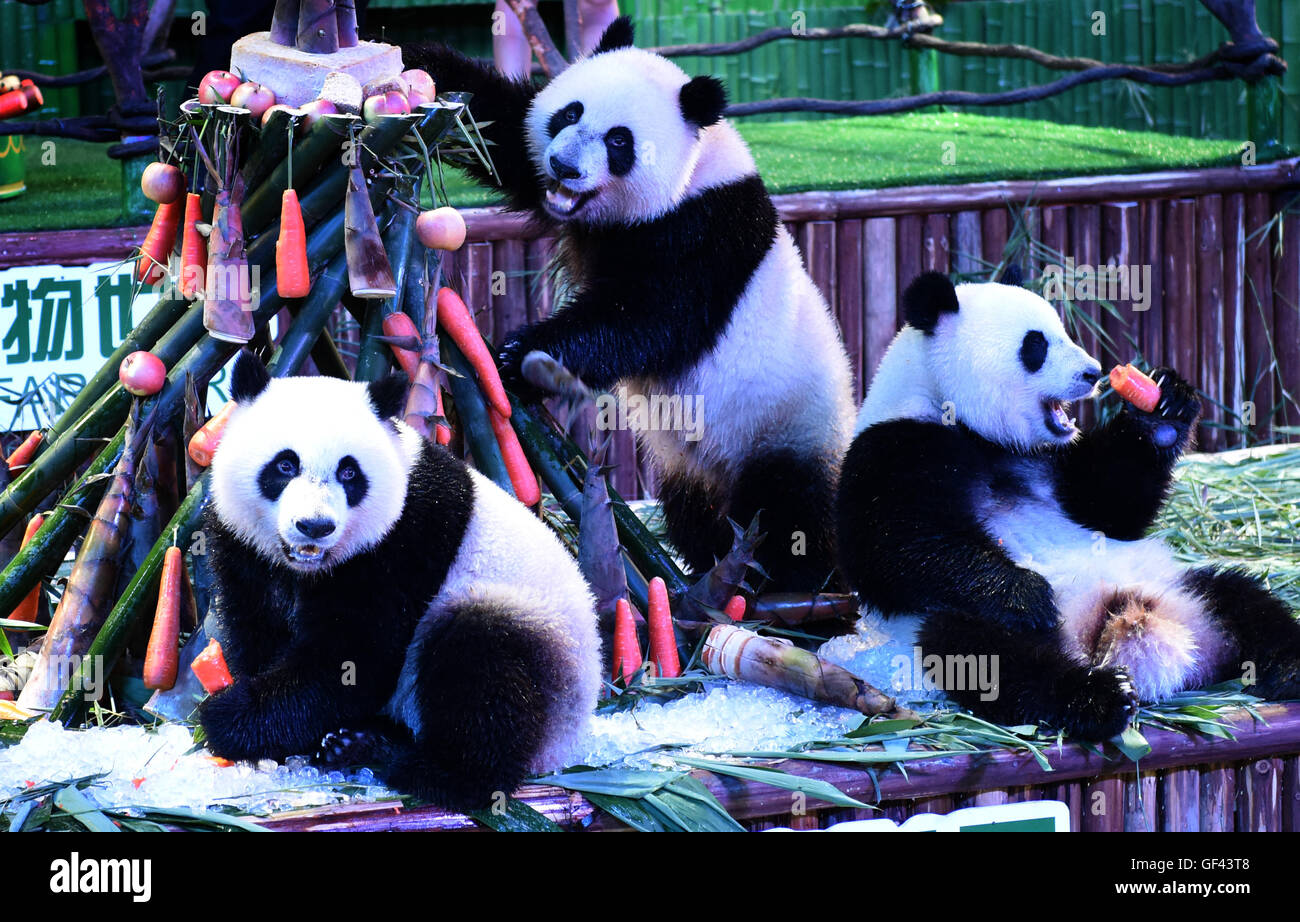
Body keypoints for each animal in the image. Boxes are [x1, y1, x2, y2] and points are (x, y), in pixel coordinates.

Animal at [198, 352, 600, 811]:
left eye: (349, 473)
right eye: (285, 465)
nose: (315, 526)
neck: (306, 568)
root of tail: (566, 743)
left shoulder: (405, 538)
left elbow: (353, 659)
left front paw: (225, 717)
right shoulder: (243, 546)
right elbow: (256, 628)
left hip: (535, 637)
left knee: (485, 669)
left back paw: (411, 763)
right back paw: (354, 743)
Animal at [406, 18, 855, 591]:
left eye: (619, 140)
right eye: (570, 113)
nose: (563, 166)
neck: (699, 166)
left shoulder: (704, 231)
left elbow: (650, 318)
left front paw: (519, 357)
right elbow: (498, 125)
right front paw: (404, 62)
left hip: (788, 426)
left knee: (789, 511)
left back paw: (797, 586)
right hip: (694, 465)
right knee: (694, 511)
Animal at [835, 271, 1300, 740]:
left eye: (1063, 330)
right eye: (1035, 345)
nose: (1093, 372)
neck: (969, 427)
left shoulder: (1051, 463)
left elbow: (1112, 507)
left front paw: (1163, 409)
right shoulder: (895, 447)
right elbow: (896, 548)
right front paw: (1025, 593)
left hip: (1178, 585)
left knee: (1243, 599)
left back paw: (1287, 667)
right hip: (958, 624)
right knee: (990, 656)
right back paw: (1102, 695)